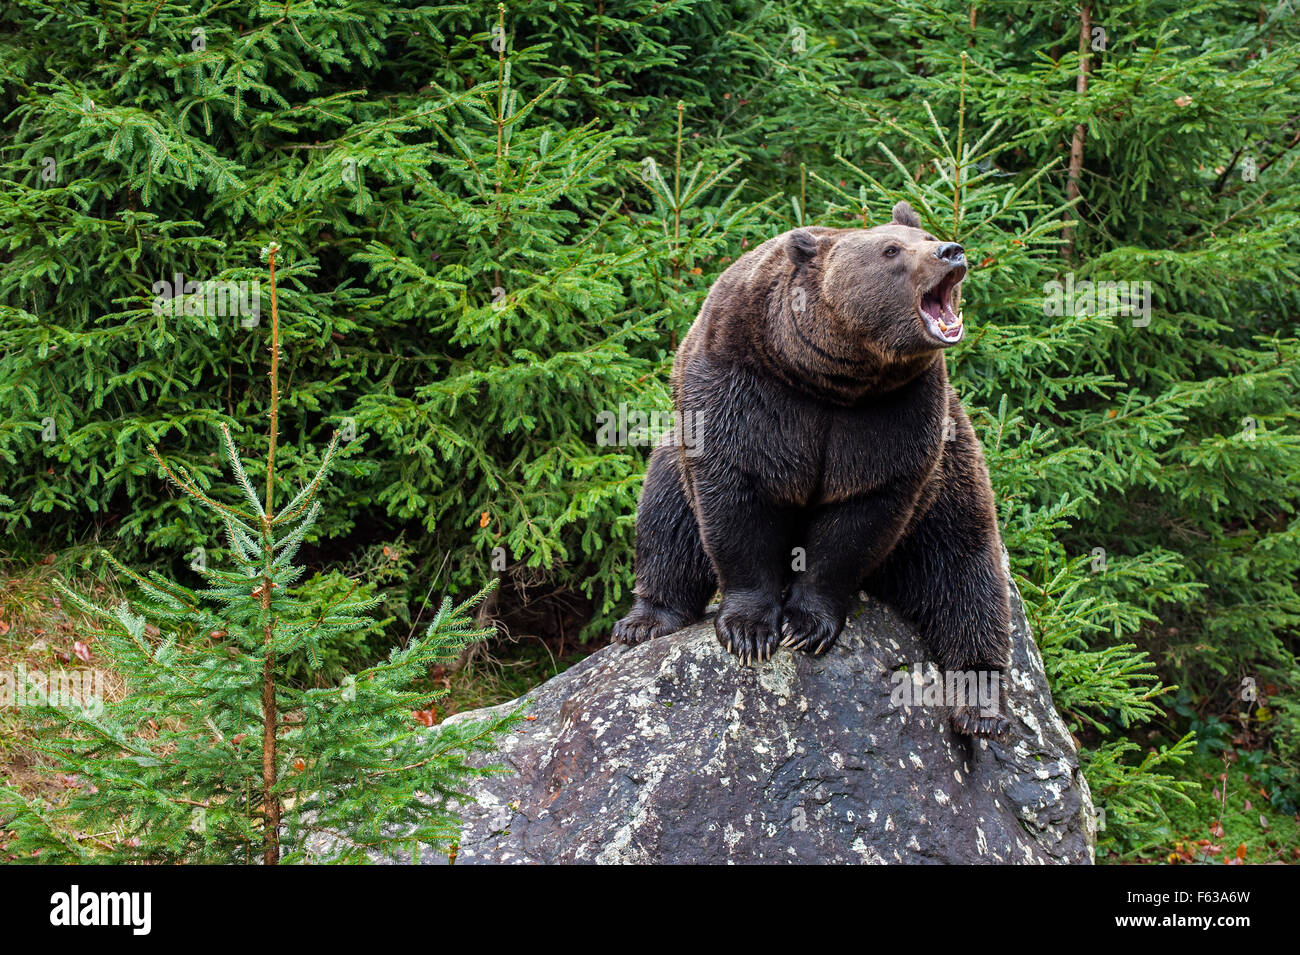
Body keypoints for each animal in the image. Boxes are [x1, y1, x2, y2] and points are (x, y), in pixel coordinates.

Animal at [611, 200, 1012, 738]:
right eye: (892, 249)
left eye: (927, 236)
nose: (952, 251)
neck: (833, 377)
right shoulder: (743, 392)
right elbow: (736, 501)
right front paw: (749, 631)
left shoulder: (895, 418)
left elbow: (859, 519)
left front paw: (805, 626)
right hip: (672, 455)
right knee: (665, 524)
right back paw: (645, 620)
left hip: (951, 488)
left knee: (968, 578)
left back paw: (980, 706)